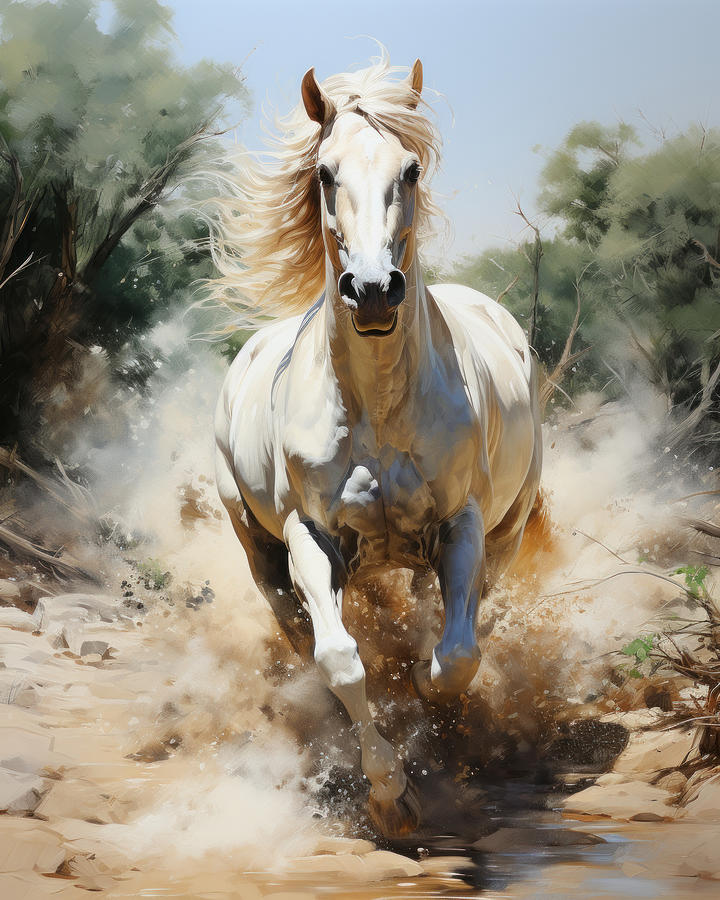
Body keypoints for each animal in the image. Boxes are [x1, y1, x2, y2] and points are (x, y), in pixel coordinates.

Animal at [212, 55, 542, 837]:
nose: (371, 291)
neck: (380, 408)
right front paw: (392, 797)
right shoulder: (310, 536)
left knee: (454, 609)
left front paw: (426, 693)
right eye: (326, 172)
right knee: (305, 643)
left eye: (411, 169)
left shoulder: (461, 524)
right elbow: (341, 660)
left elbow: (455, 656)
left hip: (507, 530)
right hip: (262, 555)